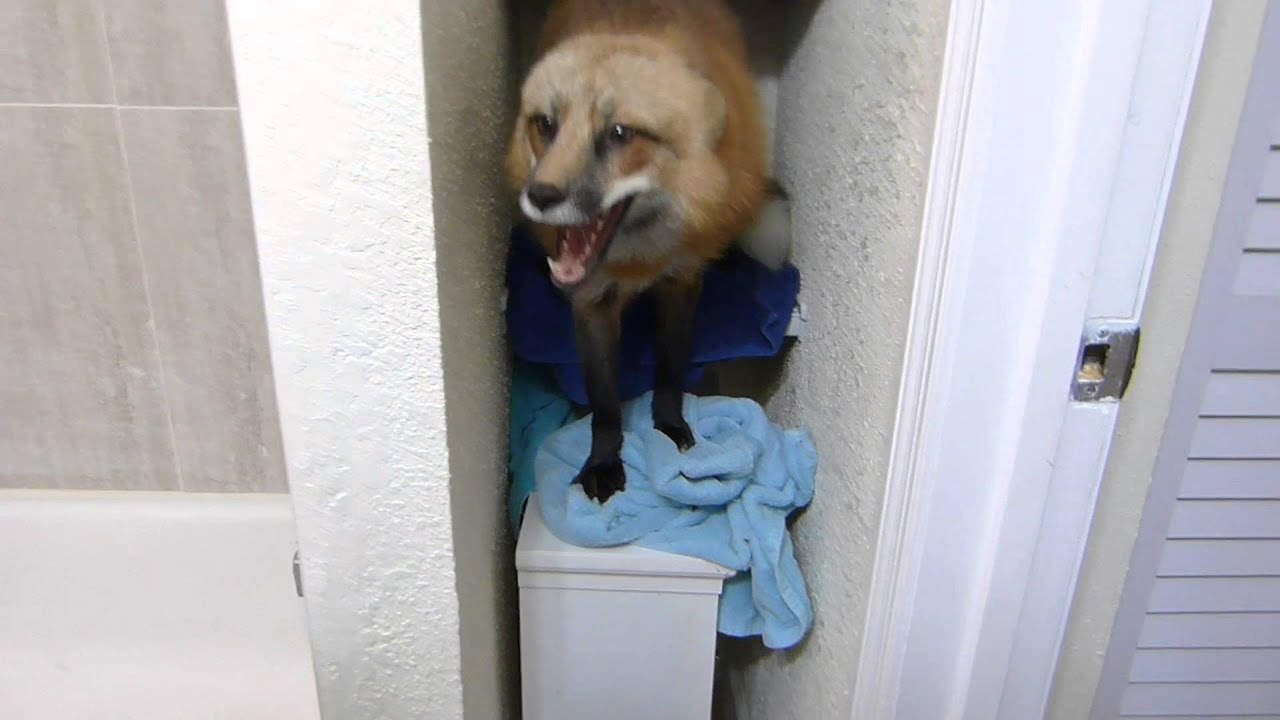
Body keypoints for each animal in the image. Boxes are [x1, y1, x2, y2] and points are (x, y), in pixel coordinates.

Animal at [506, 0, 786, 503]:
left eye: (619, 133)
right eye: (546, 125)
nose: (539, 195)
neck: (637, 261)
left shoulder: (682, 280)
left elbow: (670, 370)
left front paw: (669, 428)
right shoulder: (590, 303)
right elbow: (604, 402)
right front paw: (602, 461)